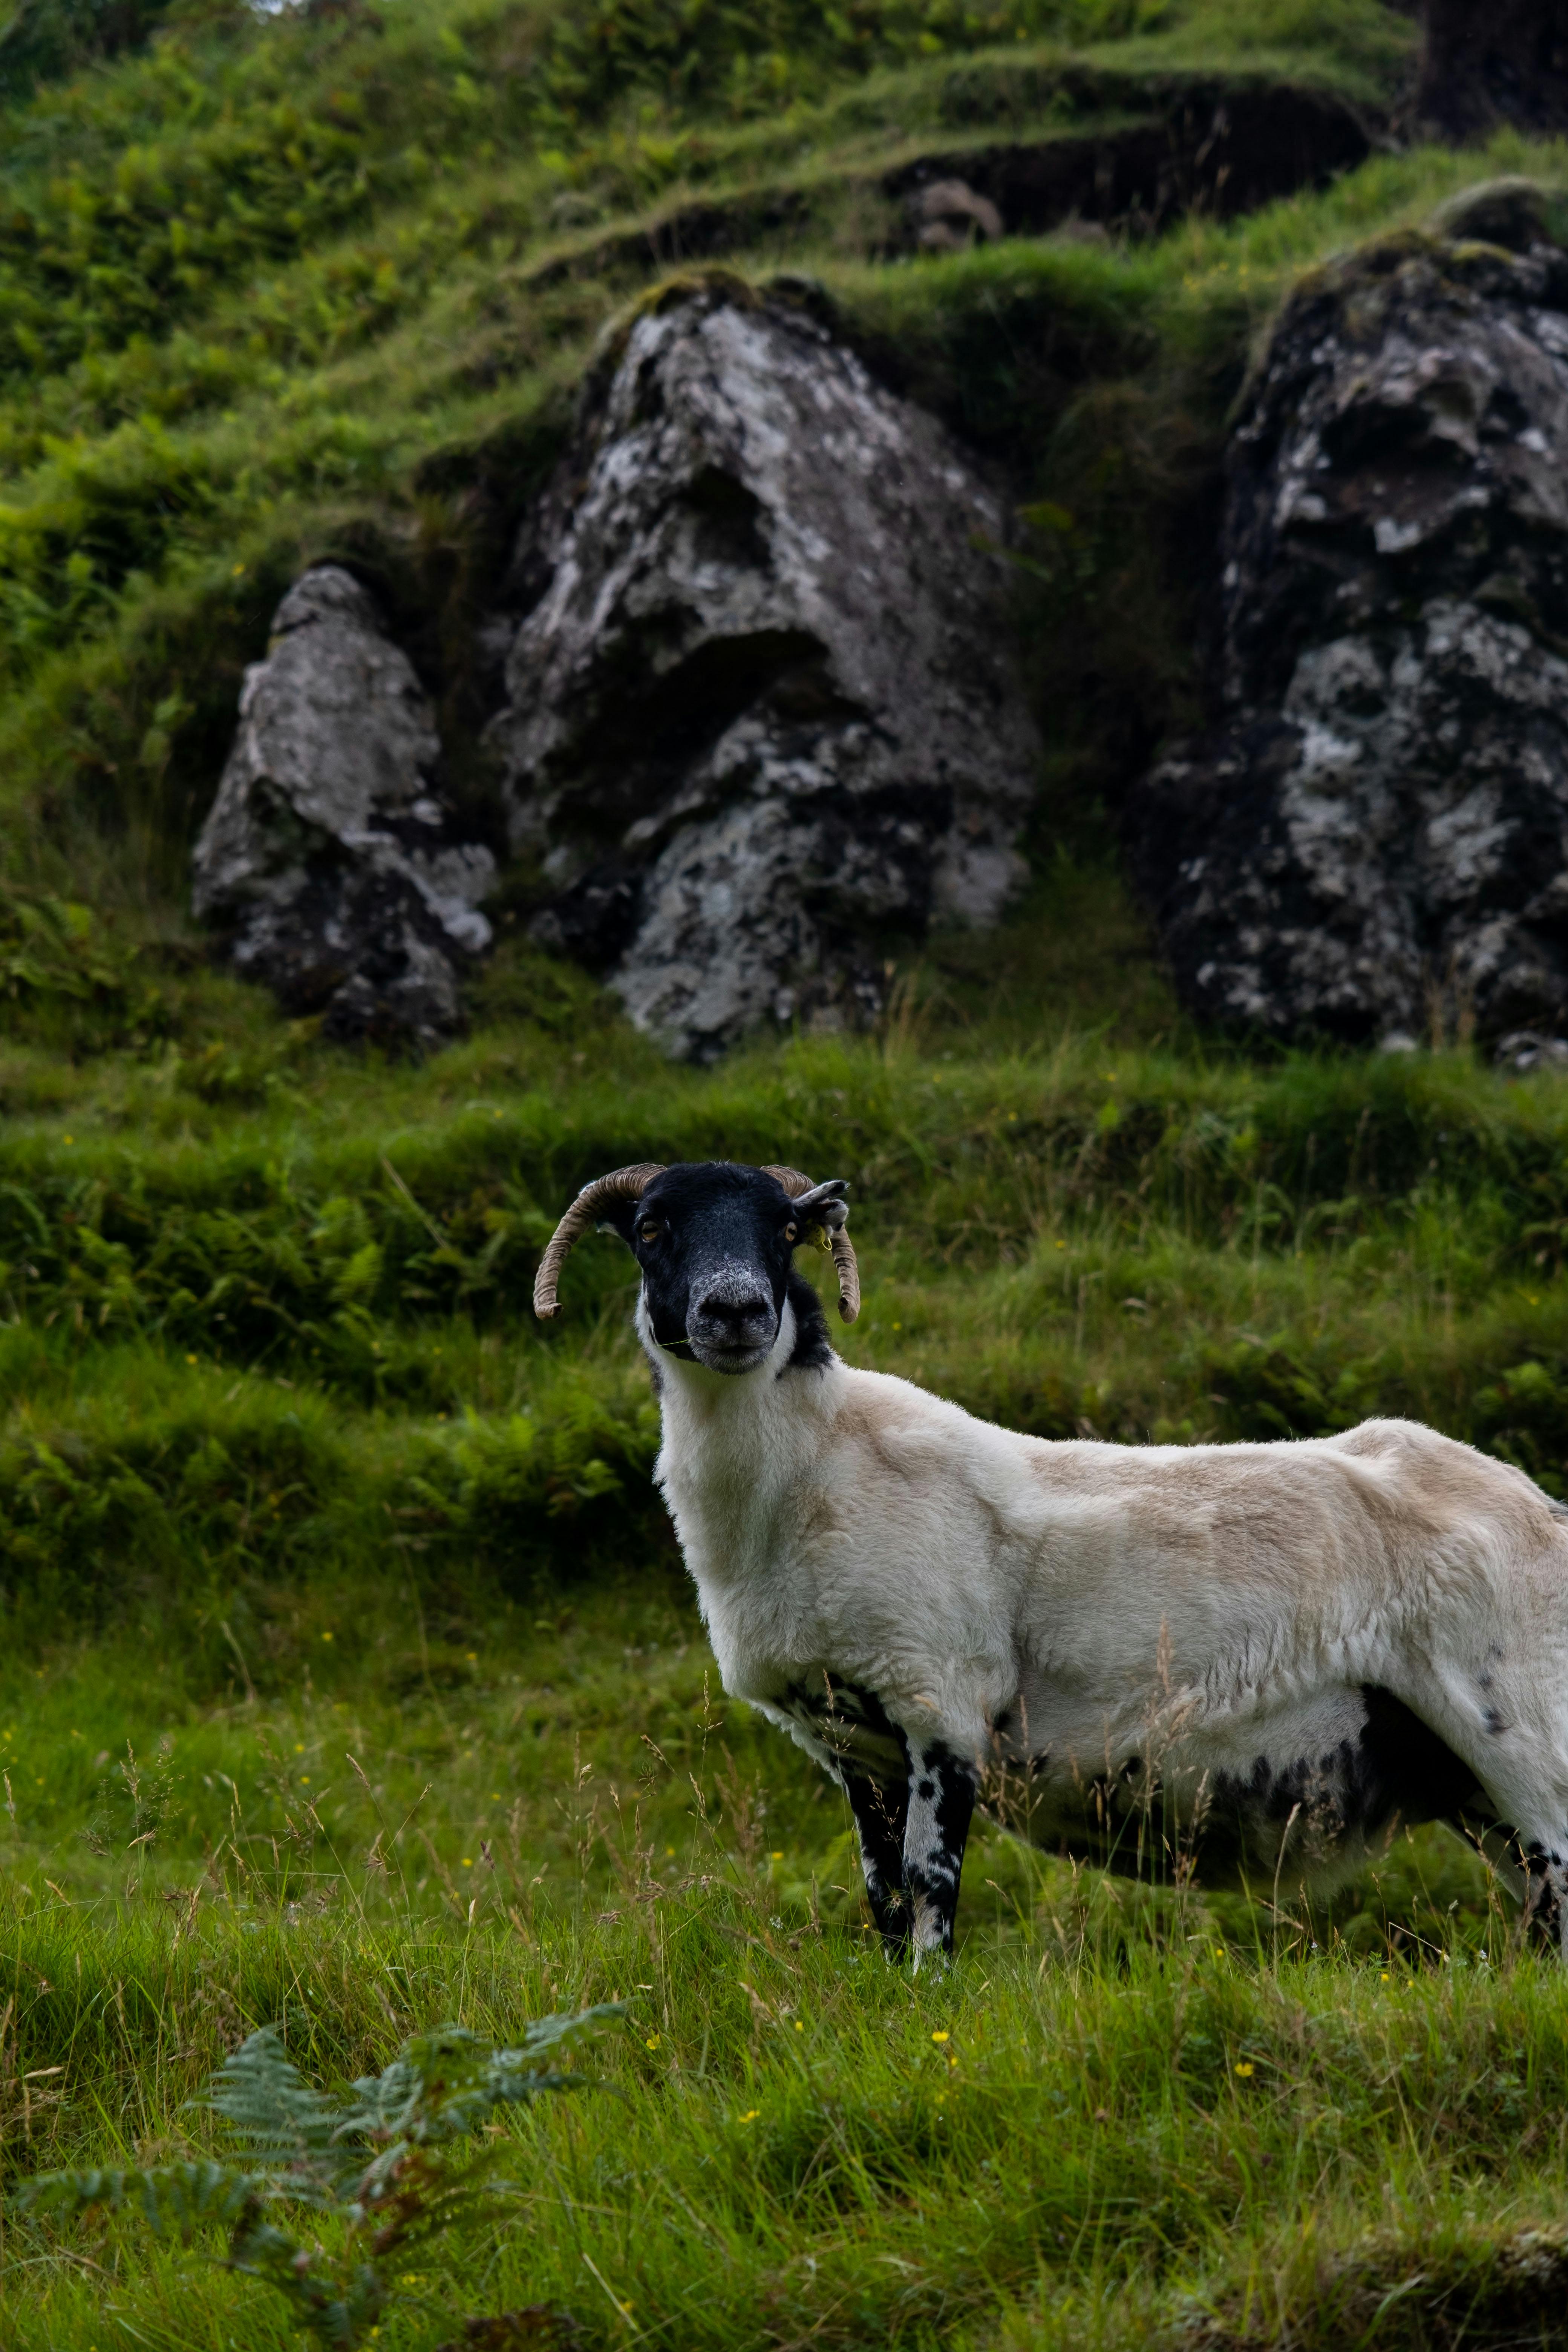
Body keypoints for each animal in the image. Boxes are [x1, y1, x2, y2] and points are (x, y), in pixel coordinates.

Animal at [535, 1158, 1568, 1965]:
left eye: (783, 1231)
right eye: (653, 1227)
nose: (737, 1311)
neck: (816, 1467)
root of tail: (1535, 1505)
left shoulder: (938, 1699)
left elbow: (930, 1882)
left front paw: (931, 2000)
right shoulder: (850, 1740)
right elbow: (882, 1890)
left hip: (1513, 1723)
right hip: (1455, 1772)